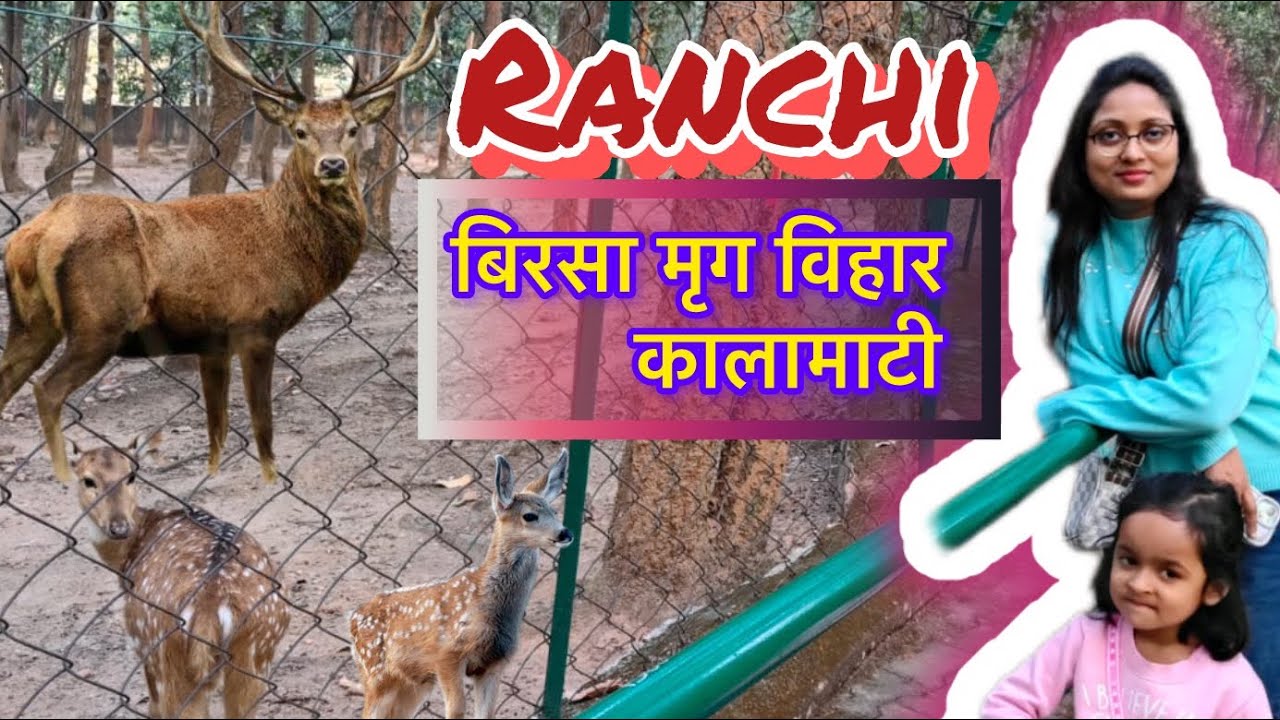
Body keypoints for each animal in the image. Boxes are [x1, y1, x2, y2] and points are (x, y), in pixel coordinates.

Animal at [0, 1, 441, 486]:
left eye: (351, 128)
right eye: (300, 131)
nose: (332, 165)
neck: (288, 246)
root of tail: (35, 235)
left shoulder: (213, 339)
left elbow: (218, 427)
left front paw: (213, 470)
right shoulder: (255, 322)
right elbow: (262, 424)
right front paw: (270, 478)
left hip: (30, 321)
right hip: (99, 321)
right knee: (47, 389)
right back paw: (69, 476)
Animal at [73, 431, 291, 719]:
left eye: (131, 476)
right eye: (88, 480)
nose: (119, 527)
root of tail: (213, 602)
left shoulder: (141, 649)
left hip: (166, 653)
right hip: (259, 645)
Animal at [349, 449, 575, 719]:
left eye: (554, 512)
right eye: (529, 516)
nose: (565, 533)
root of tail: (353, 618)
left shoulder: (495, 662)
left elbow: (487, 713)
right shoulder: (446, 655)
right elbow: (457, 711)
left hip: (413, 682)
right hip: (376, 674)